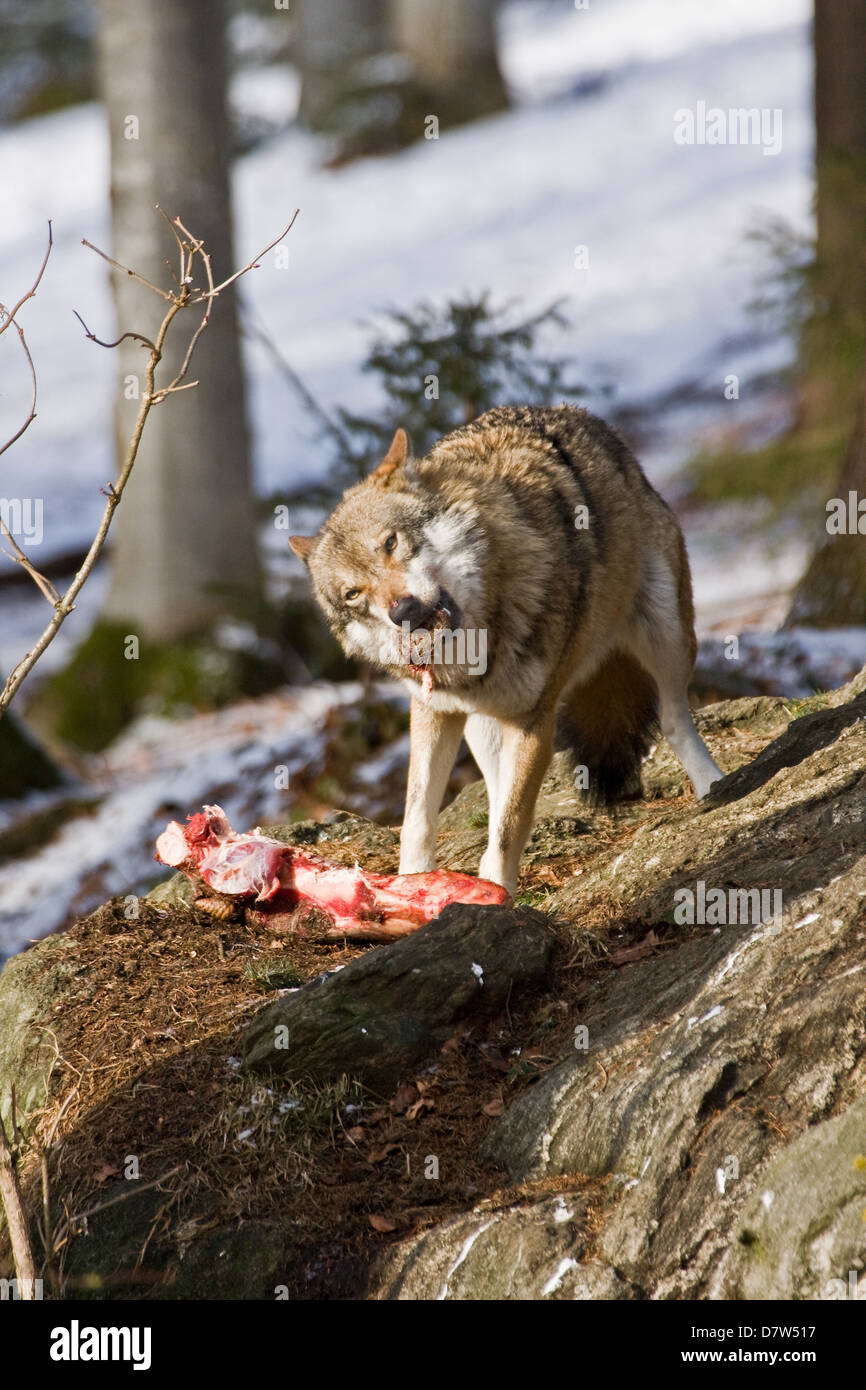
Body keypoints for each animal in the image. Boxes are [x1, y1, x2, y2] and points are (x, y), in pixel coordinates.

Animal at [291, 405, 722, 895]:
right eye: (352, 594)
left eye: (390, 542)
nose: (402, 610)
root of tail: (572, 413)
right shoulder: (433, 710)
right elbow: (417, 818)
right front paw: (413, 883)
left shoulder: (536, 721)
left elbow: (508, 829)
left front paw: (494, 895)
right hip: (485, 724)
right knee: (497, 792)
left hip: (666, 635)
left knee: (672, 720)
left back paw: (714, 786)